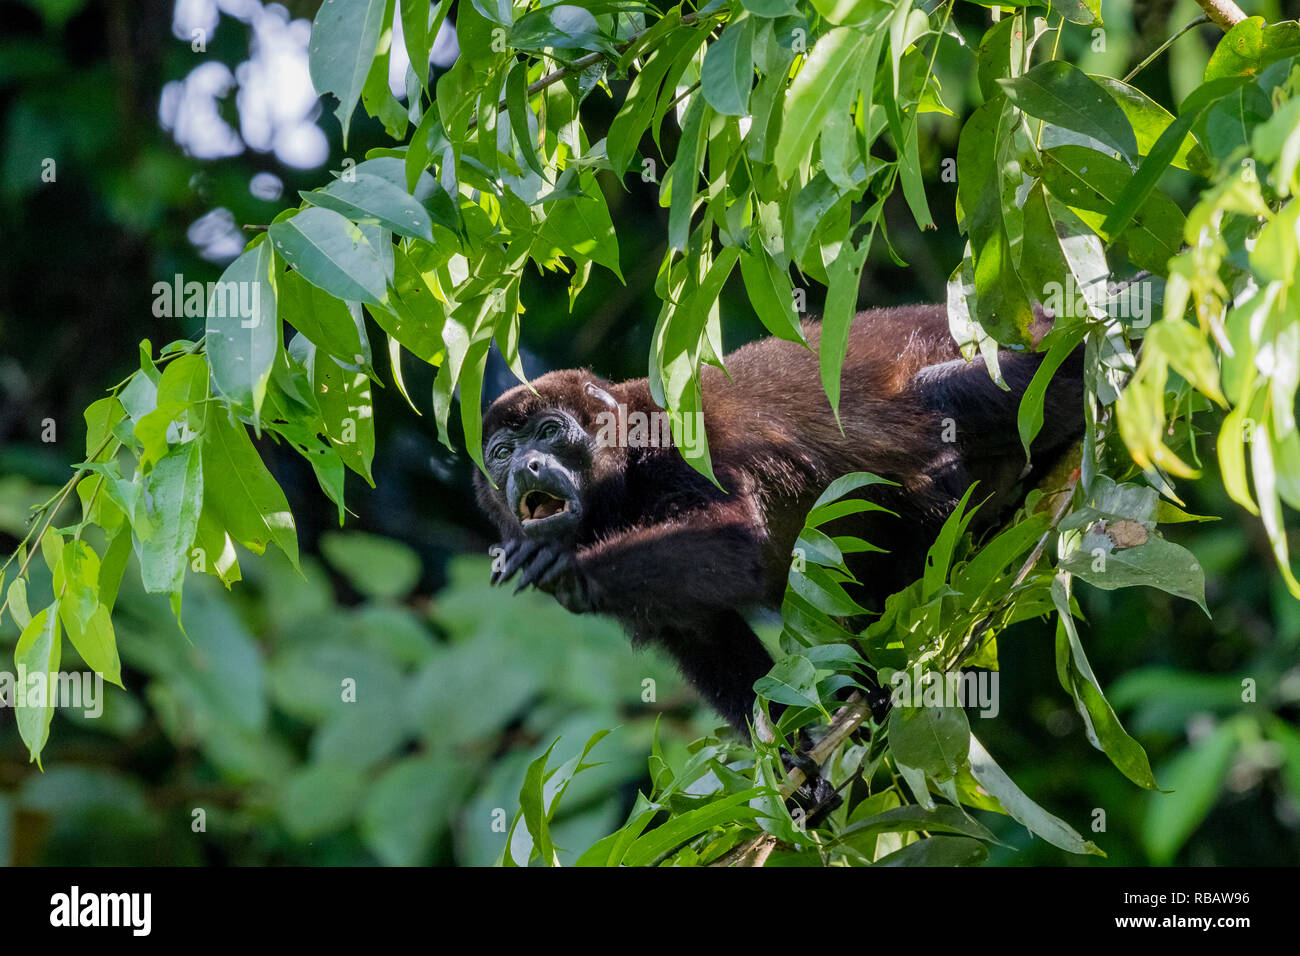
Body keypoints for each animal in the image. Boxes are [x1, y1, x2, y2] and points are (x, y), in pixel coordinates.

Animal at [475, 304, 1082, 742]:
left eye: (550, 432)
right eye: (502, 452)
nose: (526, 466)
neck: (624, 472)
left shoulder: (679, 443)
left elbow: (738, 541)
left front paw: (569, 570)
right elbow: (700, 630)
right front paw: (796, 767)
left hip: (1056, 368)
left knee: (940, 396)